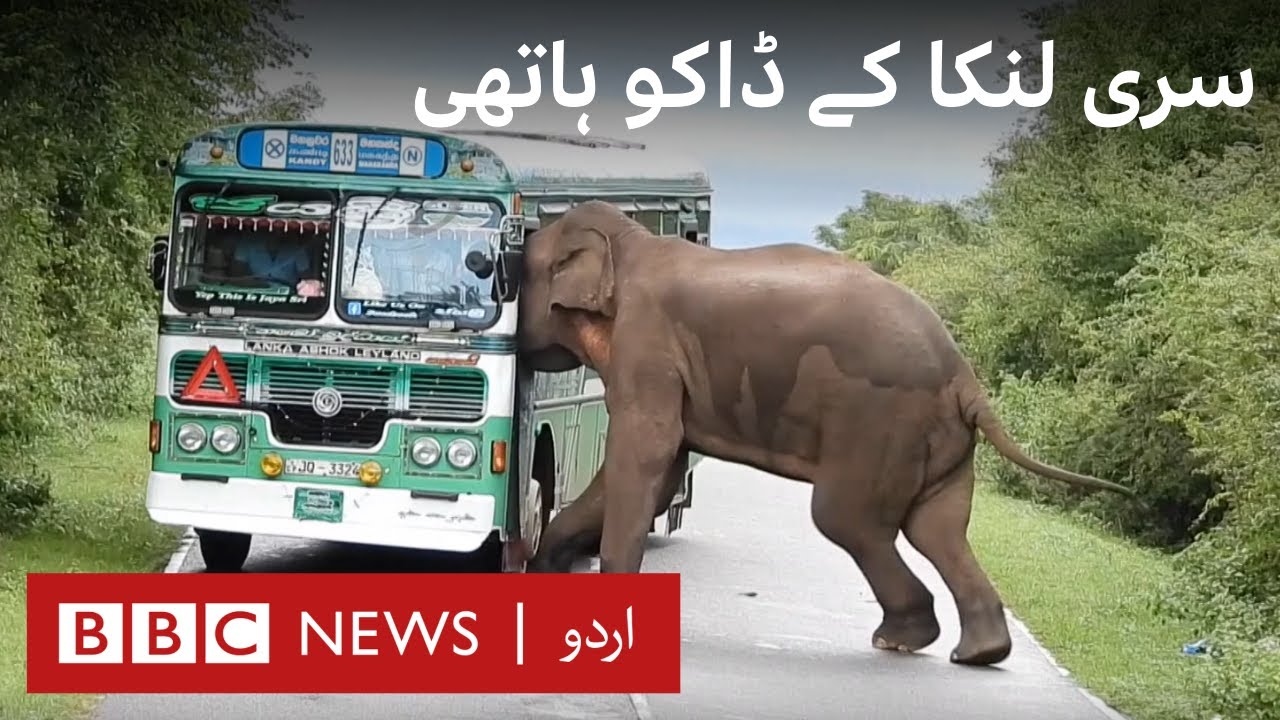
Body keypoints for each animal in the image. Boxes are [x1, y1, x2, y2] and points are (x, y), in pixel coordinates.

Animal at [516, 200, 1134, 666]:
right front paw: (544, 572)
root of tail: (965, 377)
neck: (629, 243)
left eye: (510, 275)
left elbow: (647, 455)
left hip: (882, 423)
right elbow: (660, 468)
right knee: (937, 529)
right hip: (937, 440)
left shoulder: (648, 345)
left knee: (849, 519)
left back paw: (903, 639)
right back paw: (976, 654)